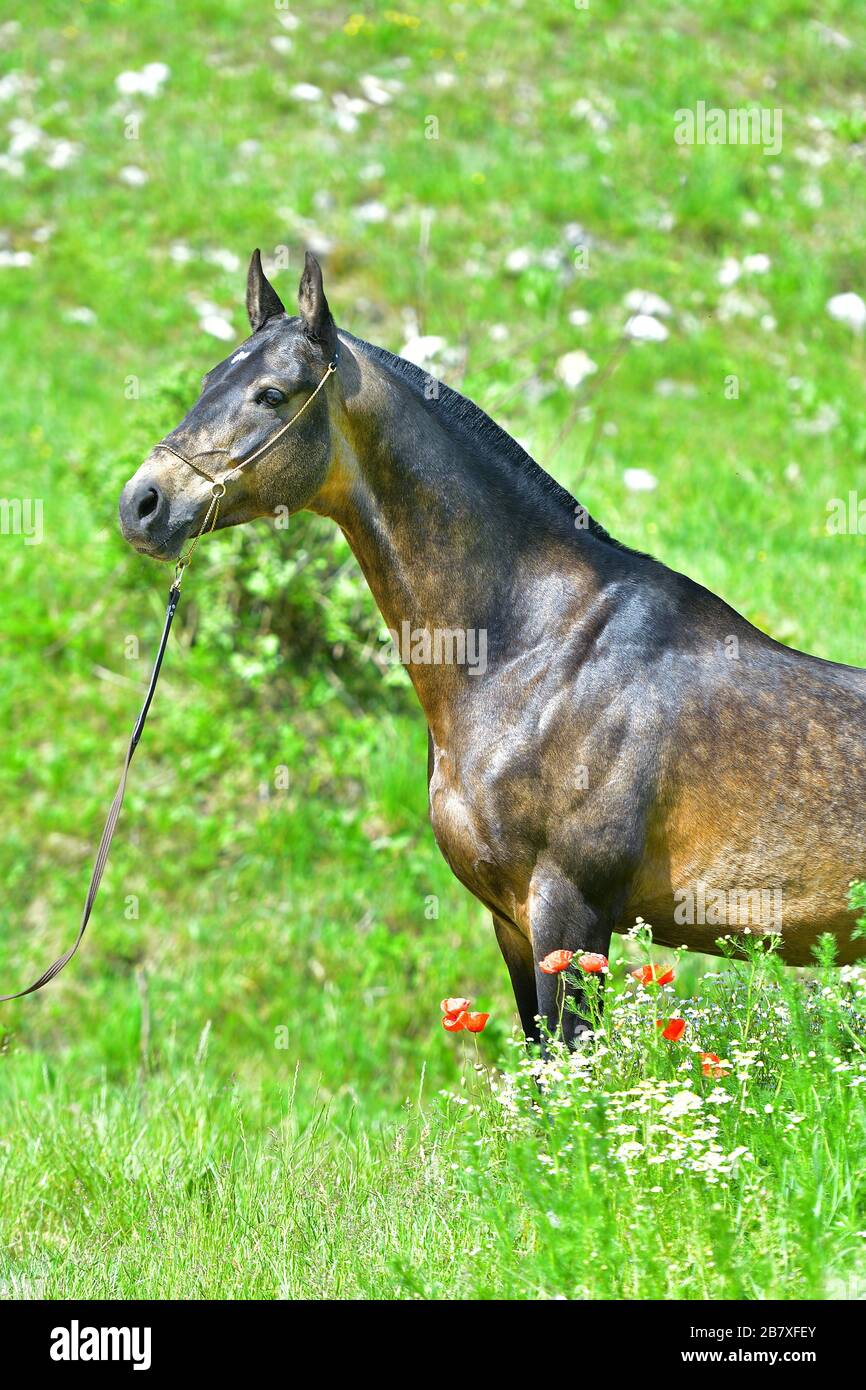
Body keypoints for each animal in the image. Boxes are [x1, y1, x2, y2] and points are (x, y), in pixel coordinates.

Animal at [119, 250, 866, 1046]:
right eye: (207, 381)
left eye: (270, 392)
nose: (142, 504)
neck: (531, 654)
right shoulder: (511, 921)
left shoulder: (570, 914)